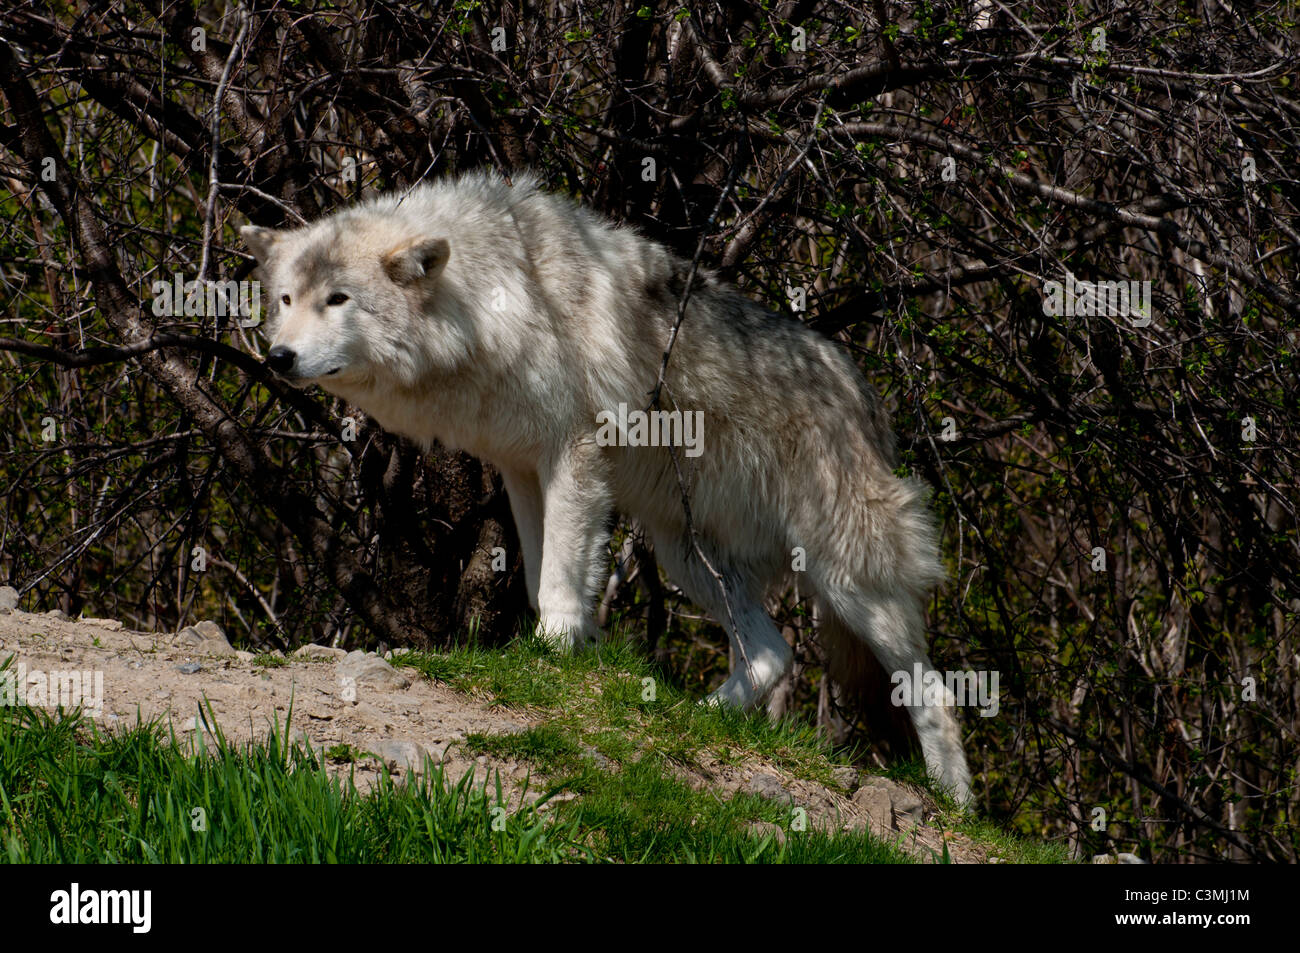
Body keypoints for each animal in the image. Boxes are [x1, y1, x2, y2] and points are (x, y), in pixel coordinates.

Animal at [241, 169, 972, 803]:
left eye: (338, 300)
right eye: (286, 300)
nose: (278, 356)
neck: (491, 297)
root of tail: (863, 391)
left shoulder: (575, 455)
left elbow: (562, 578)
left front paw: (556, 649)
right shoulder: (521, 469)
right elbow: (540, 572)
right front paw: (572, 650)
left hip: (845, 577)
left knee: (931, 691)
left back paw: (955, 802)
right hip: (687, 555)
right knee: (773, 654)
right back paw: (696, 717)